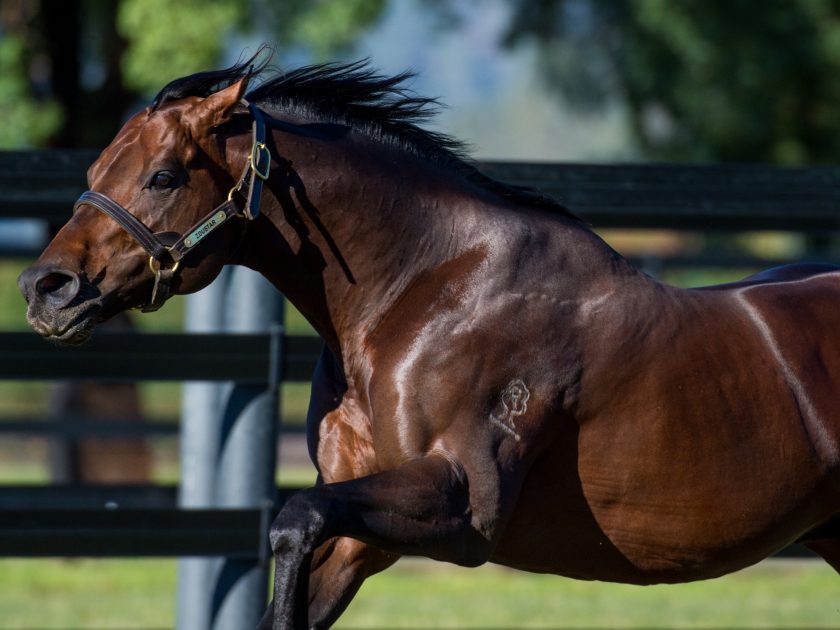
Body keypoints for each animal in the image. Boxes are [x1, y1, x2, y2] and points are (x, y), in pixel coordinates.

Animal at [18, 51, 840, 629]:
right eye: (97, 166)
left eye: (161, 176)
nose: (44, 288)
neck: (421, 295)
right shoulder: (364, 532)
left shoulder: (461, 505)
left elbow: (292, 519)